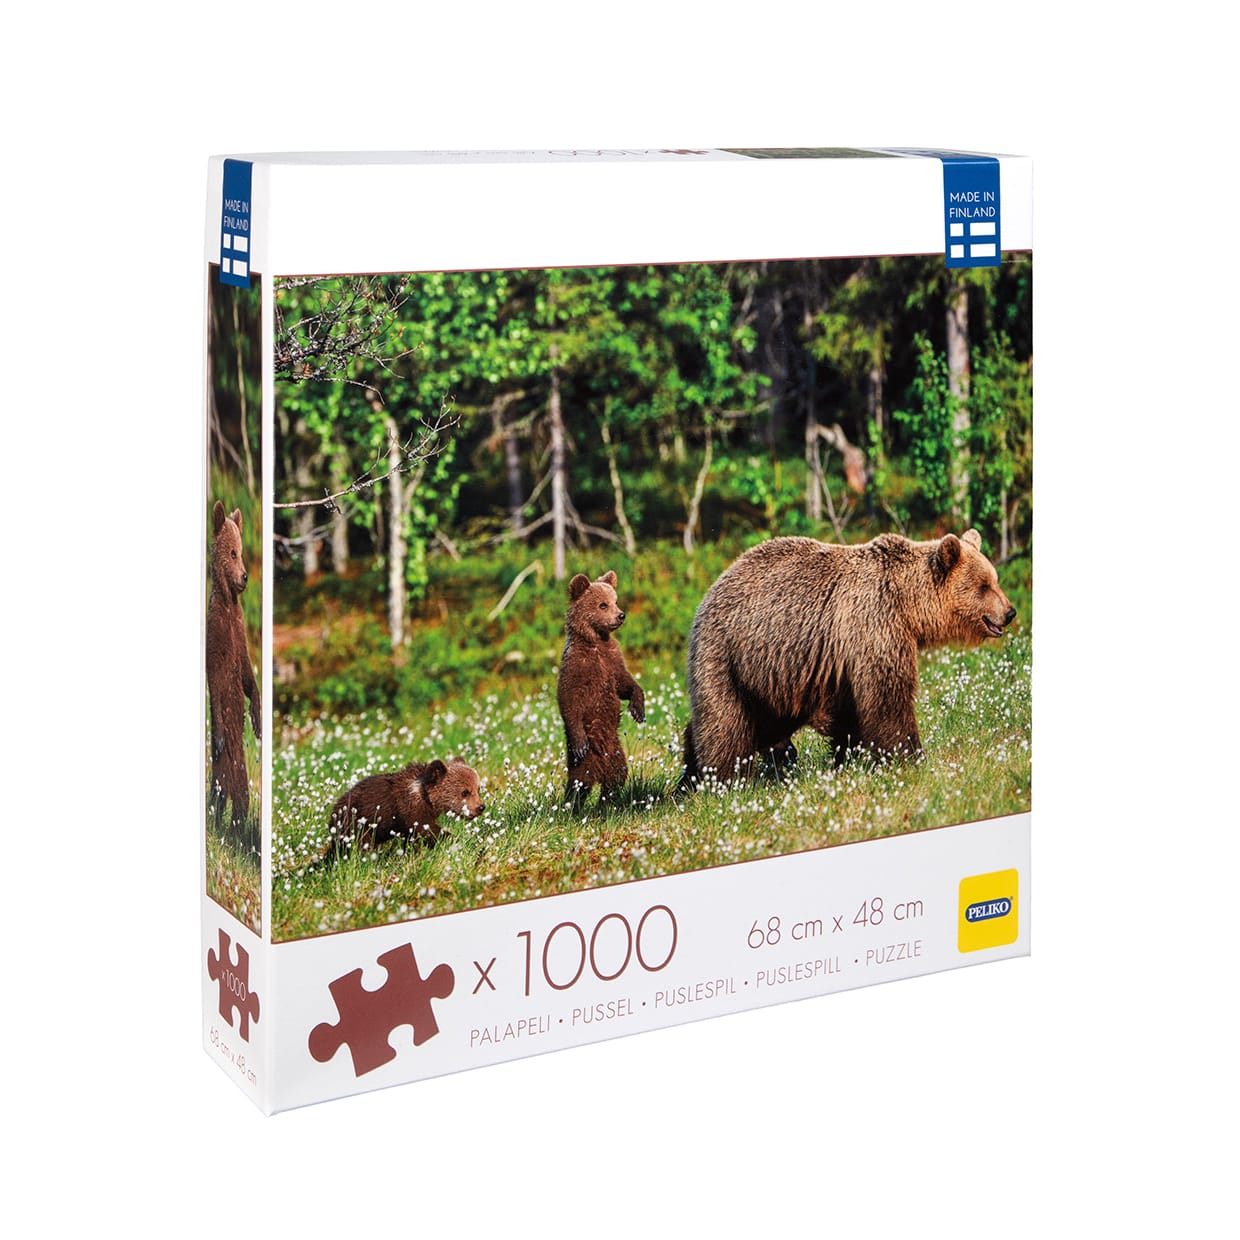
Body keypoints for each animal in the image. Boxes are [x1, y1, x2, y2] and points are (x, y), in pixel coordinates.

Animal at [326, 758, 485, 856]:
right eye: (465, 792)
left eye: (478, 789)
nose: (480, 807)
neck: (424, 797)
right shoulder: (409, 811)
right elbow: (426, 830)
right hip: (356, 824)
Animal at [557, 570, 645, 803]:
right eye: (602, 605)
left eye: (615, 600)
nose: (621, 615)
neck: (596, 642)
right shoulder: (578, 667)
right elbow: (569, 700)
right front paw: (579, 741)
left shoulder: (612, 660)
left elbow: (625, 683)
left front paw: (638, 709)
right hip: (585, 760)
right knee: (579, 784)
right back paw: (573, 805)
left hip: (616, 752)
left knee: (617, 777)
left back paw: (607, 802)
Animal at [681, 529, 1016, 784]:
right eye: (983, 585)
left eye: (995, 579)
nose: (1009, 612)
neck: (907, 605)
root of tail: (711, 589)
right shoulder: (874, 625)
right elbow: (887, 699)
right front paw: (910, 758)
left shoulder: (840, 659)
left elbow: (850, 713)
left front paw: (850, 759)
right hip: (727, 655)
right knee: (725, 724)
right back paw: (721, 780)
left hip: (770, 676)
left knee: (760, 723)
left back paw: (690, 778)